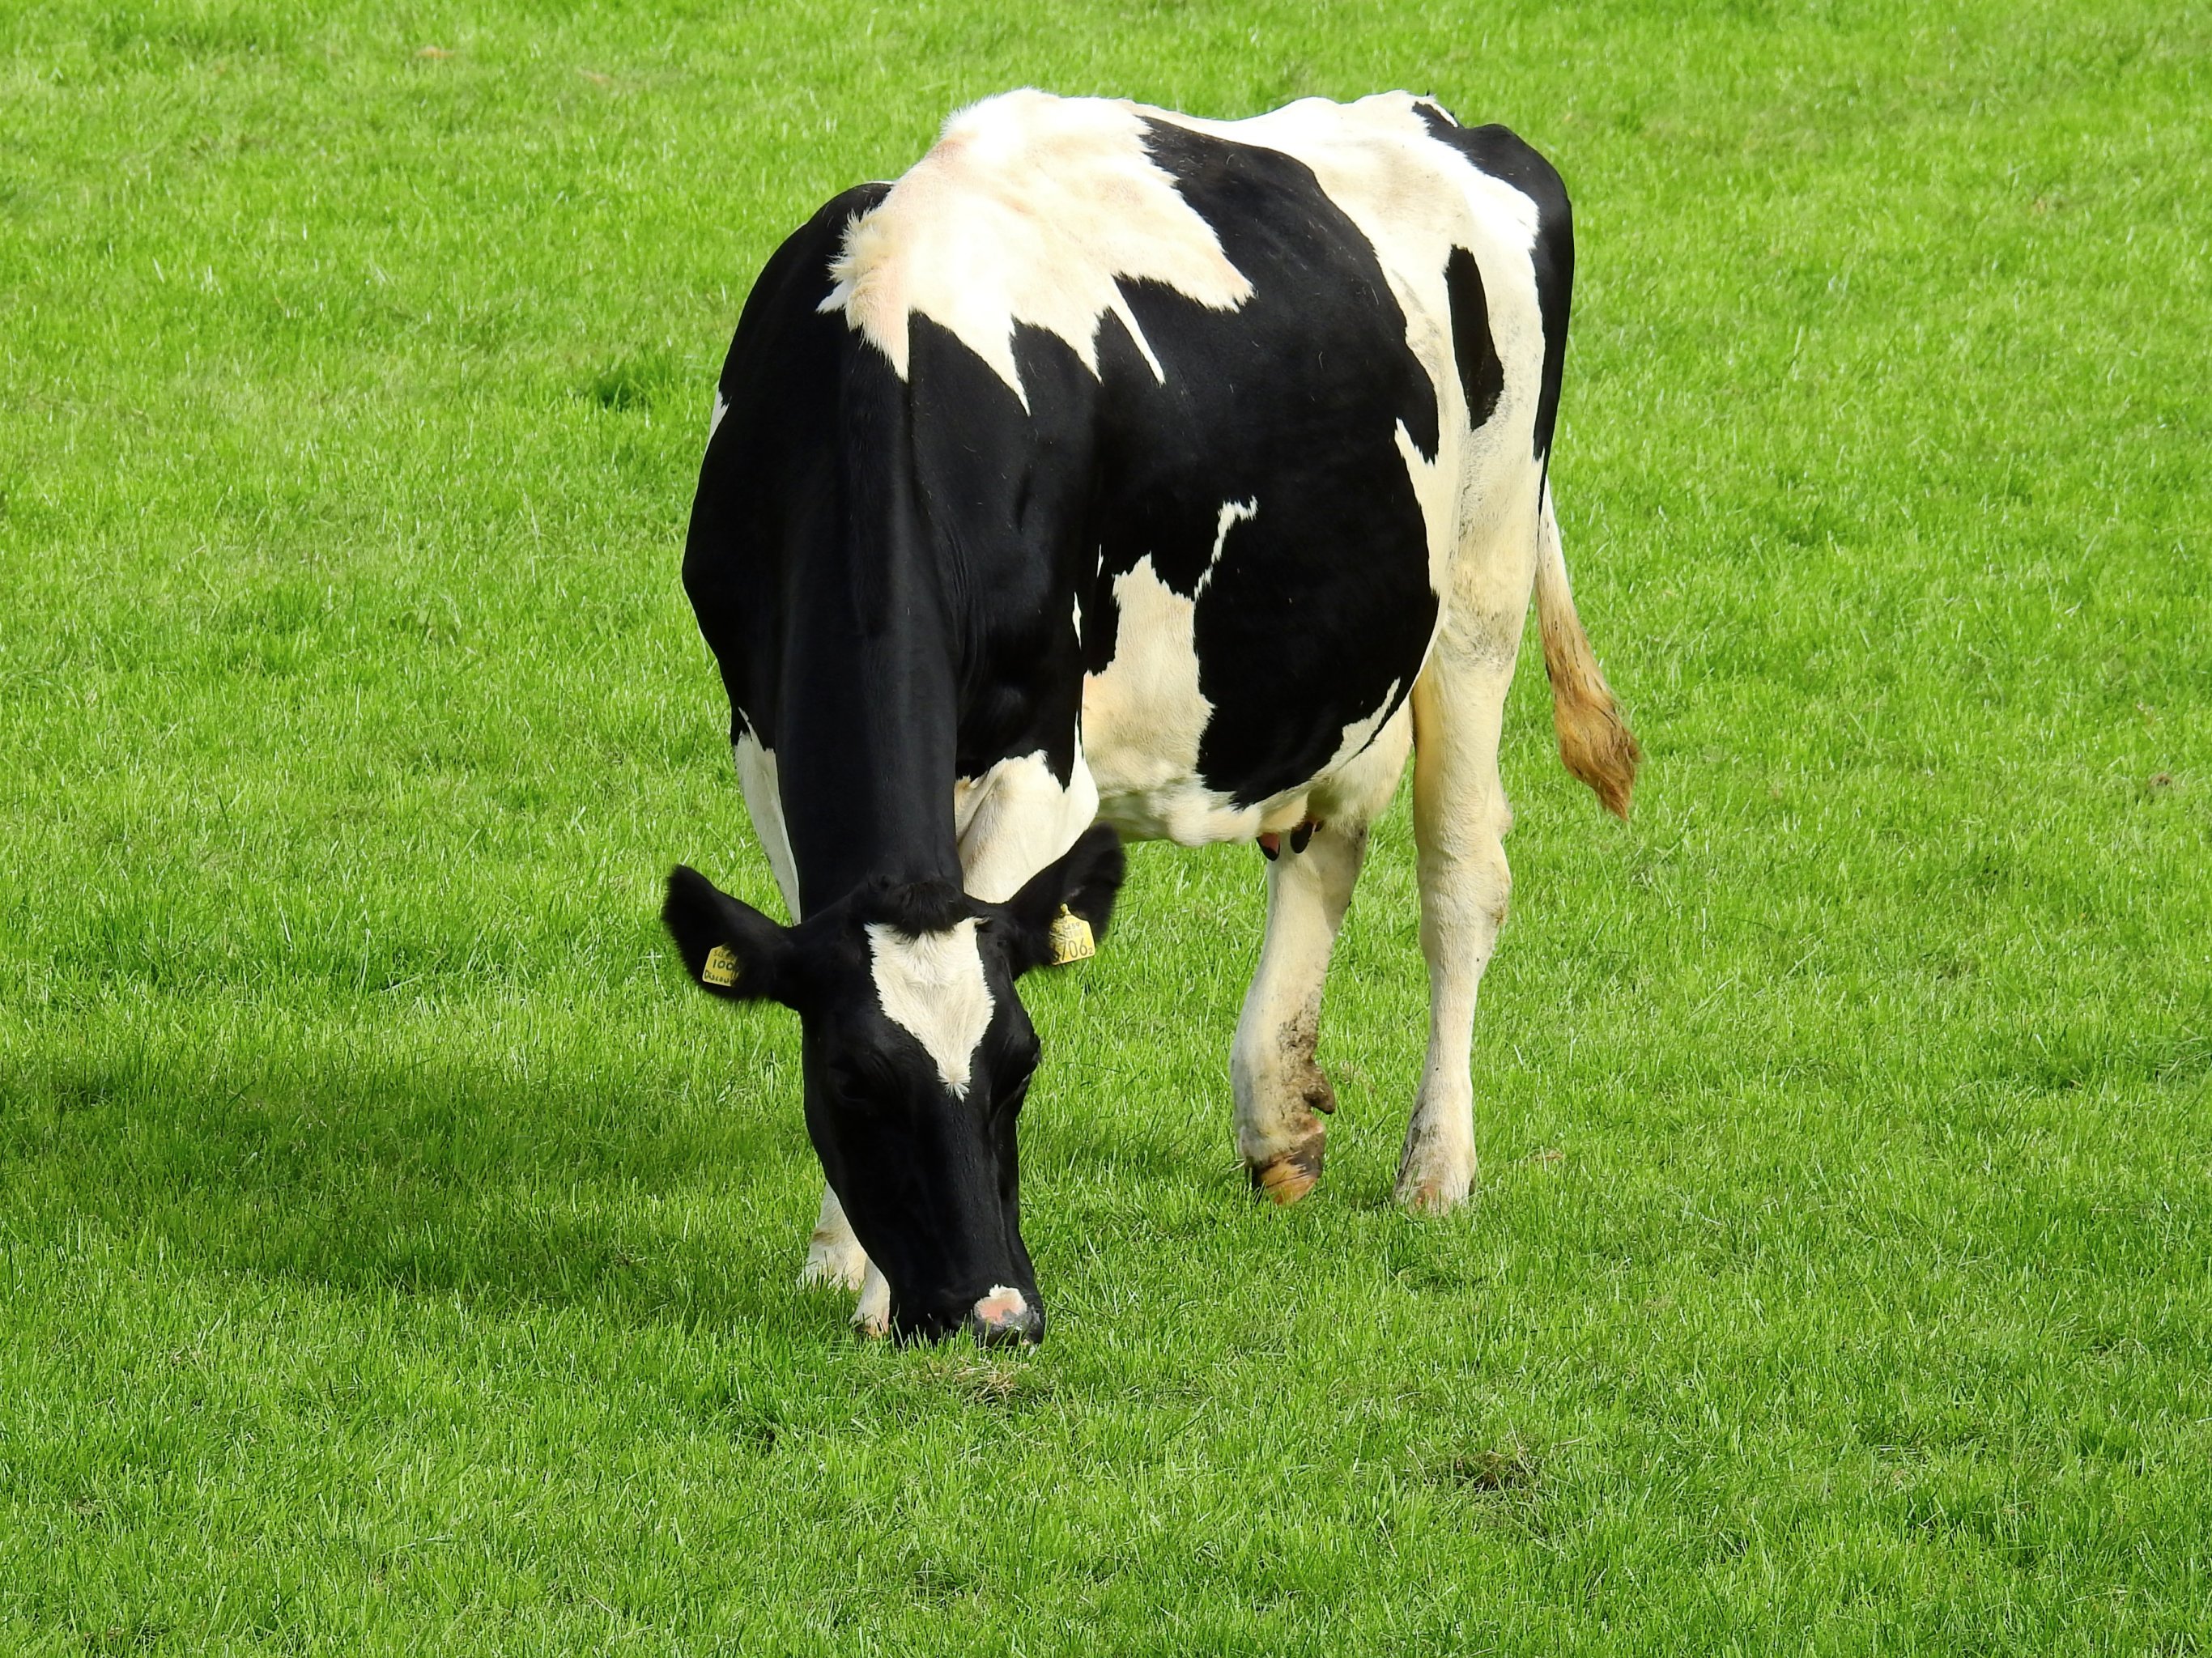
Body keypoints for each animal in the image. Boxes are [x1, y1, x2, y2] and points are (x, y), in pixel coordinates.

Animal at [662, 90, 1639, 1346]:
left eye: (1022, 1064)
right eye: (851, 1082)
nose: (998, 1312)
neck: (885, 352)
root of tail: (1443, 120)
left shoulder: (1041, 766)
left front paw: (872, 1287)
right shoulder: (762, 737)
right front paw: (842, 1260)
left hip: (1482, 578)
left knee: (1461, 878)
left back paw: (1435, 1169)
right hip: (1330, 649)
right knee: (1324, 842)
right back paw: (1280, 1122)